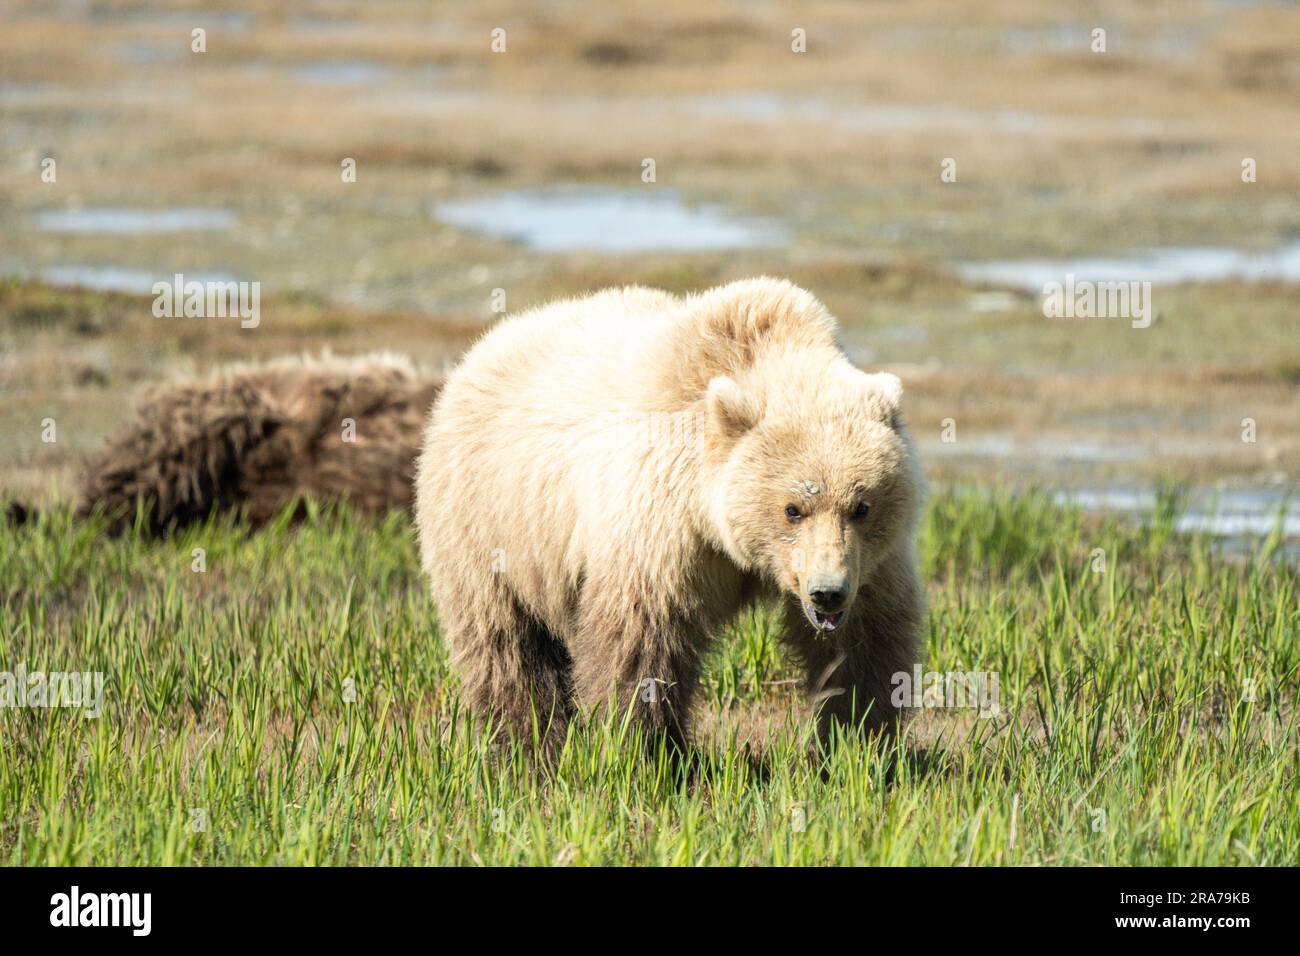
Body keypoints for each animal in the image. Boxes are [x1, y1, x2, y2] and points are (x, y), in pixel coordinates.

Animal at [415, 278, 924, 753]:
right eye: (792, 508)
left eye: (861, 505)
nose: (827, 593)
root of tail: (486, 346)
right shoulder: (659, 526)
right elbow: (642, 646)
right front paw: (647, 752)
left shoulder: (870, 563)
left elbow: (864, 646)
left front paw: (856, 741)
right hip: (490, 525)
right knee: (507, 646)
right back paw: (532, 745)